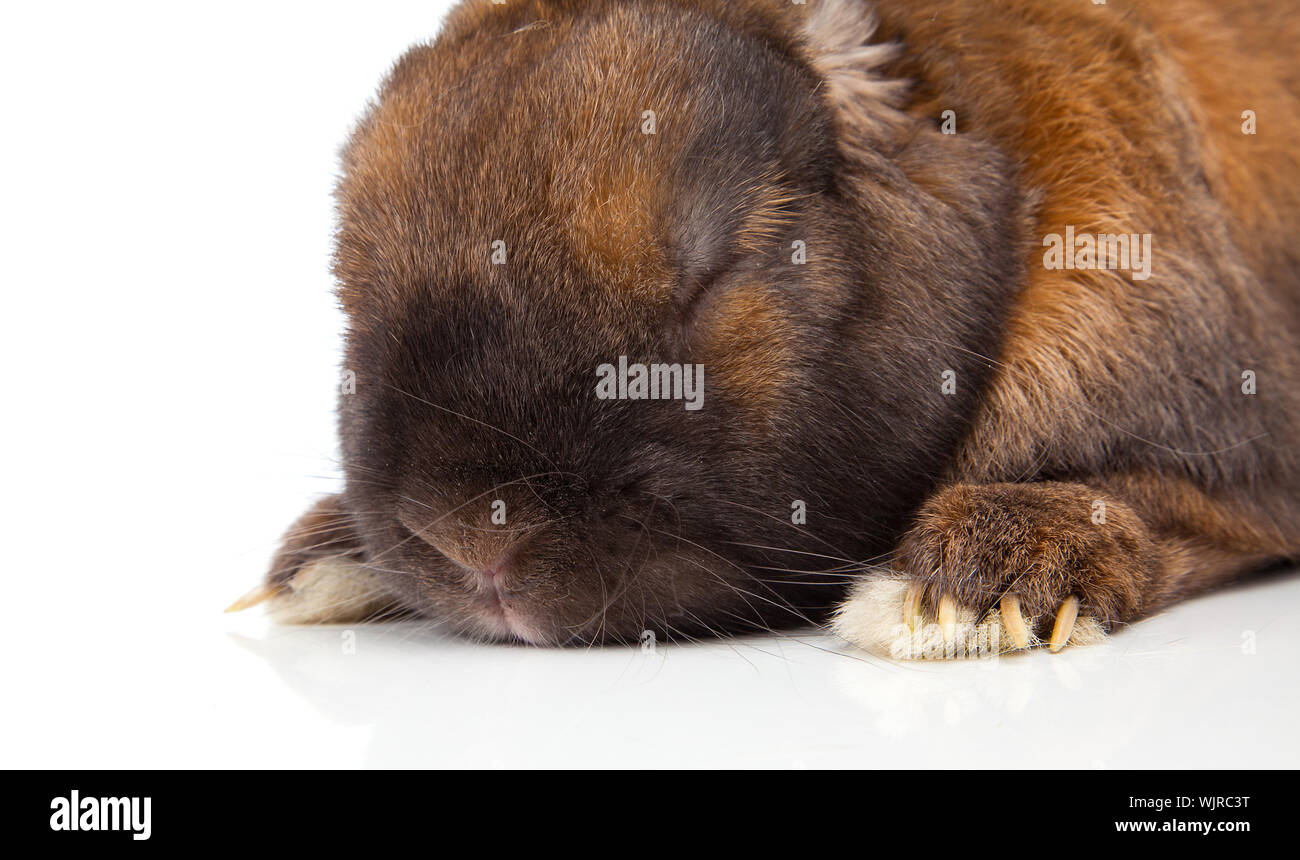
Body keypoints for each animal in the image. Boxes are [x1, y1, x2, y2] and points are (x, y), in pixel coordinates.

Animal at [229, 0, 1300, 659]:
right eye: (347, 284)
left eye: (716, 267)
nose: (467, 540)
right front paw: (322, 565)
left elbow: (1132, 501)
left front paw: (948, 599)